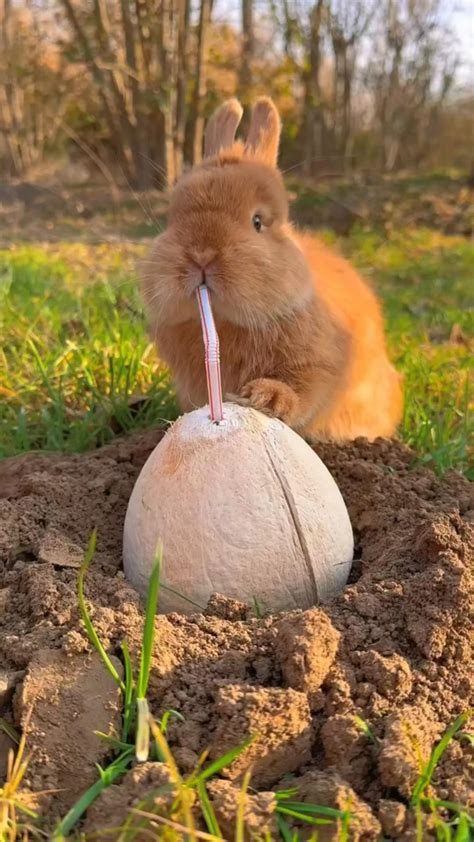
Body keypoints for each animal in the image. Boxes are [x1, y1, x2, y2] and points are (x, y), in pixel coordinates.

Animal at [142, 96, 403, 441]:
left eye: (257, 222)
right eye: (173, 217)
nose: (200, 255)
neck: (226, 322)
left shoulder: (320, 367)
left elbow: (303, 391)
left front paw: (265, 397)